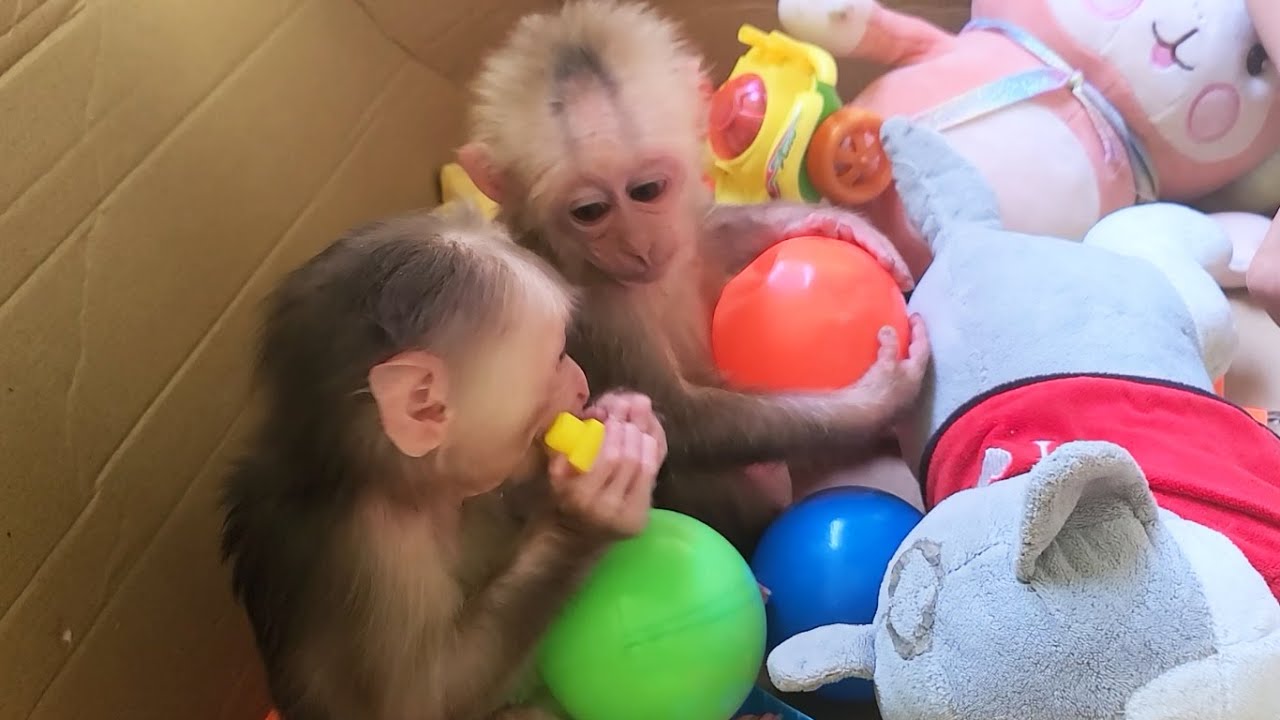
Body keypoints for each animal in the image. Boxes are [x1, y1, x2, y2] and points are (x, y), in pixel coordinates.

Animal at [218, 204, 671, 720]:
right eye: (558, 357)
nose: (581, 385)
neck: (414, 489)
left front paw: (630, 415)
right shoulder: (378, 555)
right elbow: (422, 696)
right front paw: (587, 511)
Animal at [456, 0, 931, 555]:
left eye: (647, 190)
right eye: (590, 211)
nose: (637, 246)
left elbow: (704, 240)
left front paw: (831, 222)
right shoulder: (587, 309)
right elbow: (677, 419)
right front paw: (877, 399)